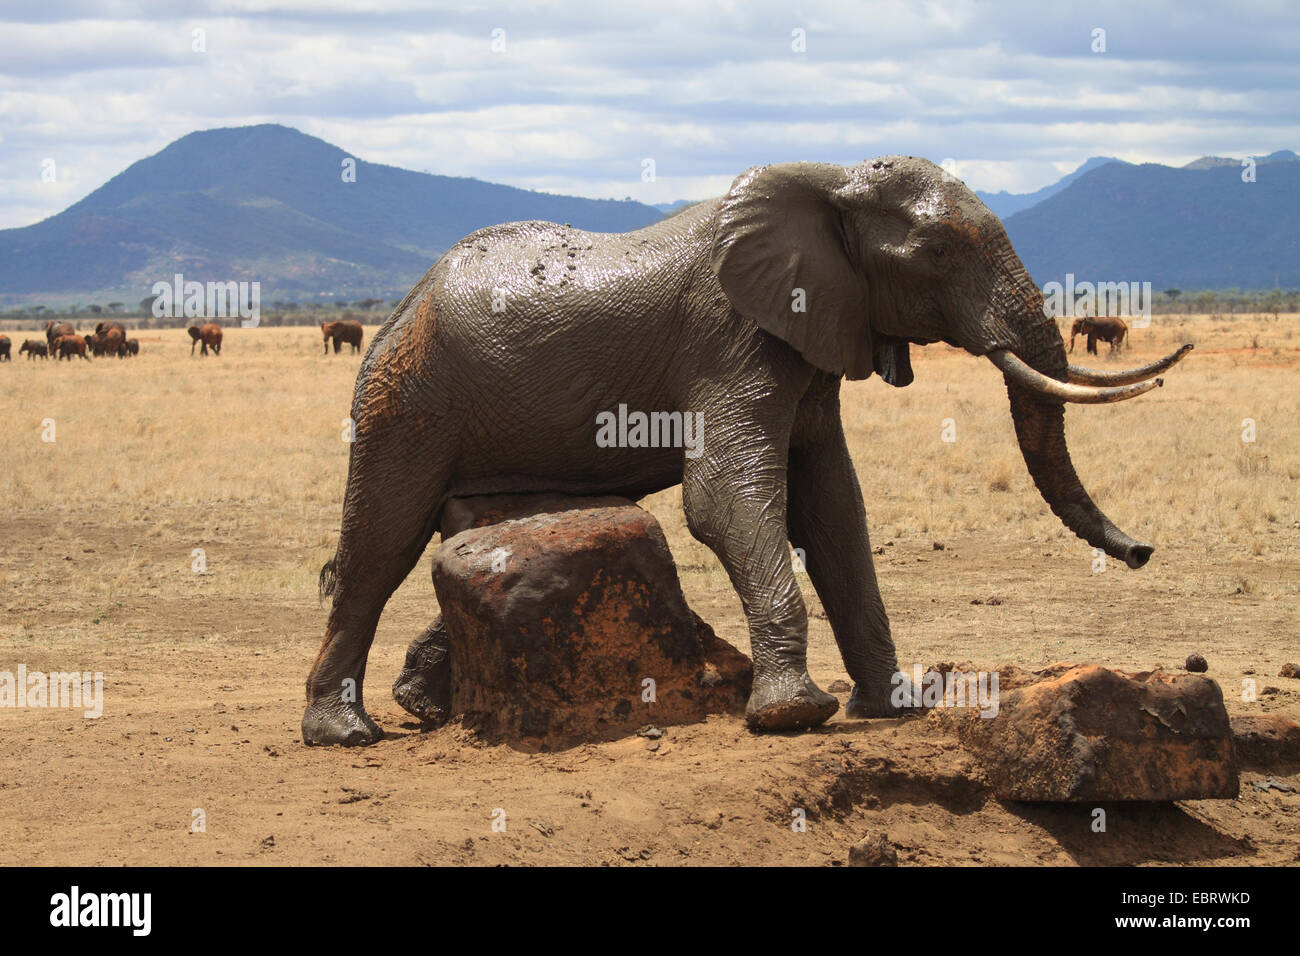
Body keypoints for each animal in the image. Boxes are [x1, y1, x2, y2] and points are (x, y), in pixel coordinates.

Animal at [302, 155, 1192, 747]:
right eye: (937, 252)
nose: (1145, 551)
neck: (830, 179)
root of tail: (406, 301)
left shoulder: (814, 340)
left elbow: (834, 511)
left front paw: (896, 707)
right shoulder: (733, 338)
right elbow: (726, 498)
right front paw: (795, 715)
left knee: (475, 532)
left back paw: (420, 703)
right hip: (405, 399)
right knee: (380, 547)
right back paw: (347, 733)